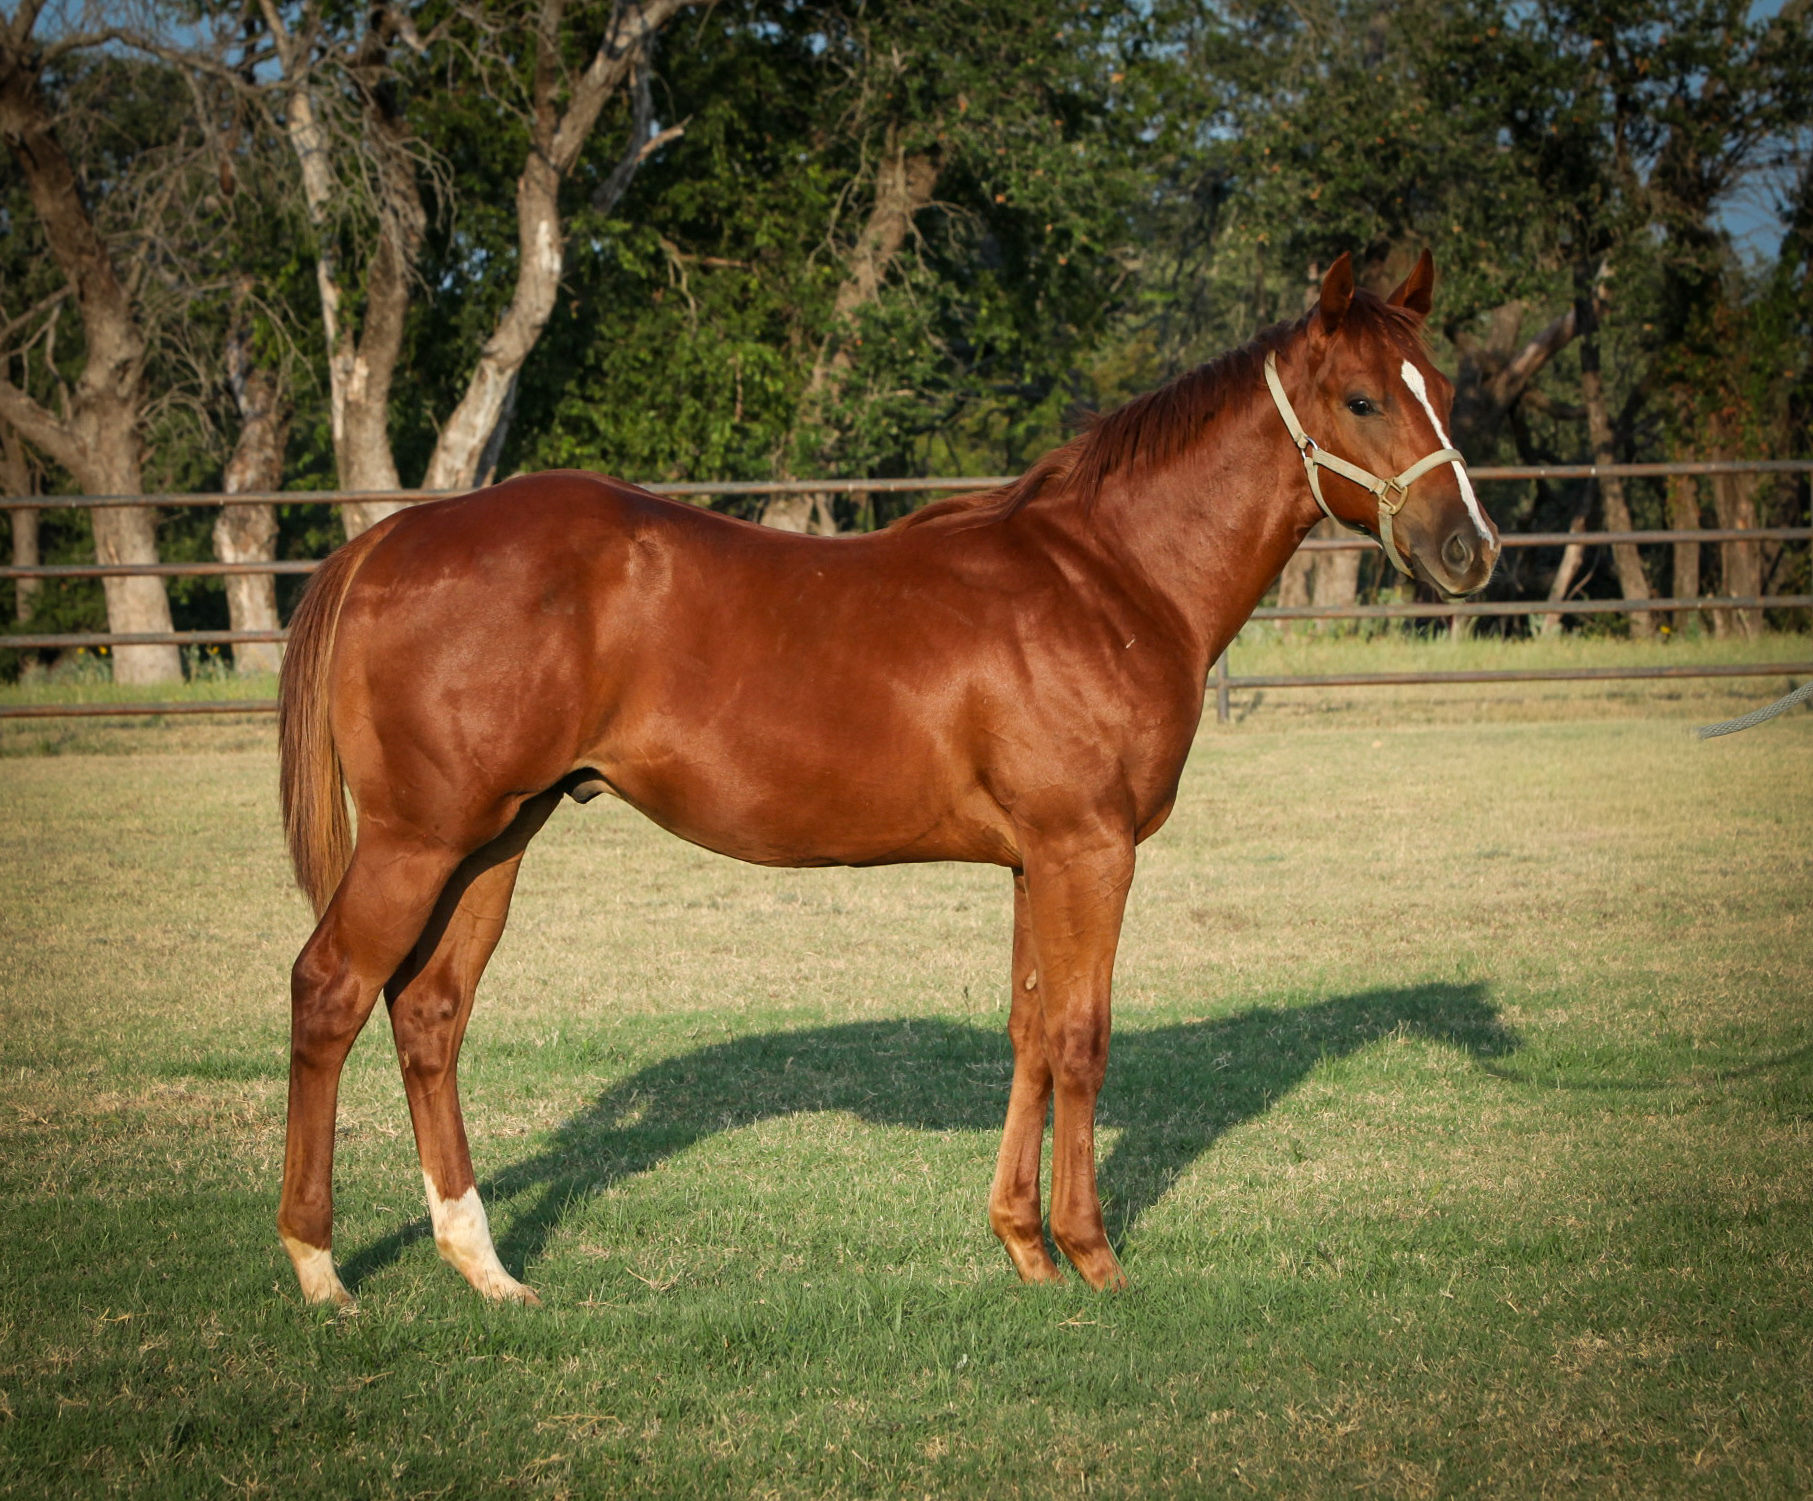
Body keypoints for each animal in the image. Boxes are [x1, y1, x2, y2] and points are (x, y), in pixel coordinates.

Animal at [274, 251, 1498, 1307]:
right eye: (1359, 399)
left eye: (1440, 388)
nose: (1469, 552)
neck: (1109, 578)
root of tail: (391, 543)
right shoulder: (1088, 850)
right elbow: (1082, 1038)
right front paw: (1094, 1257)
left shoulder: (1035, 860)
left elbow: (1028, 1035)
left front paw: (1024, 1247)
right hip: (418, 840)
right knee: (331, 990)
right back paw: (319, 1268)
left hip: (495, 837)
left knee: (430, 1011)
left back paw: (483, 1267)